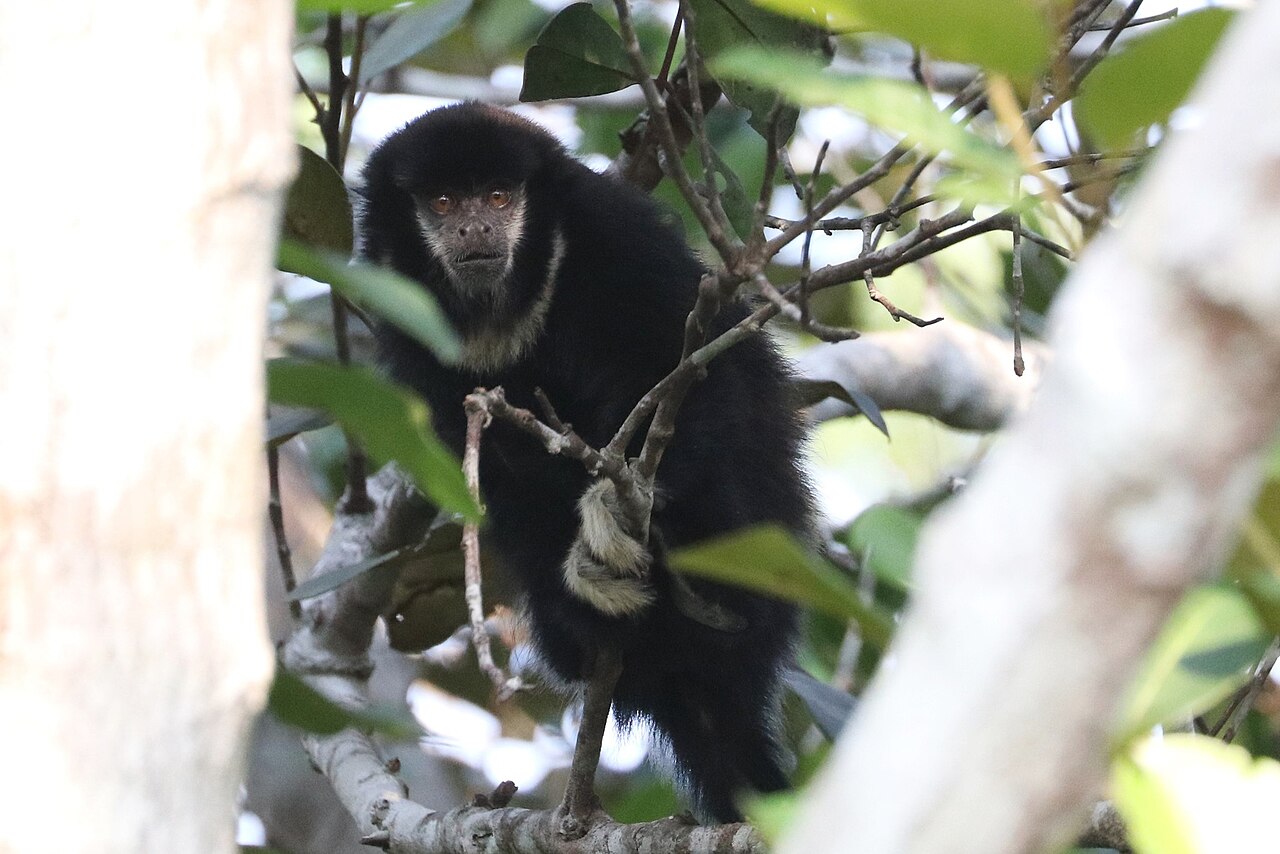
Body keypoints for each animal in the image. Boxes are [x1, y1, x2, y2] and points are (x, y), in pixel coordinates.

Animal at [359, 102, 812, 823]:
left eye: (499, 196)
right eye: (442, 201)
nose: (474, 226)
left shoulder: (614, 235)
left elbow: (695, 373)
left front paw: (620, 513)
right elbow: (496, 476)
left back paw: (705, 593)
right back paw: (585, 628)